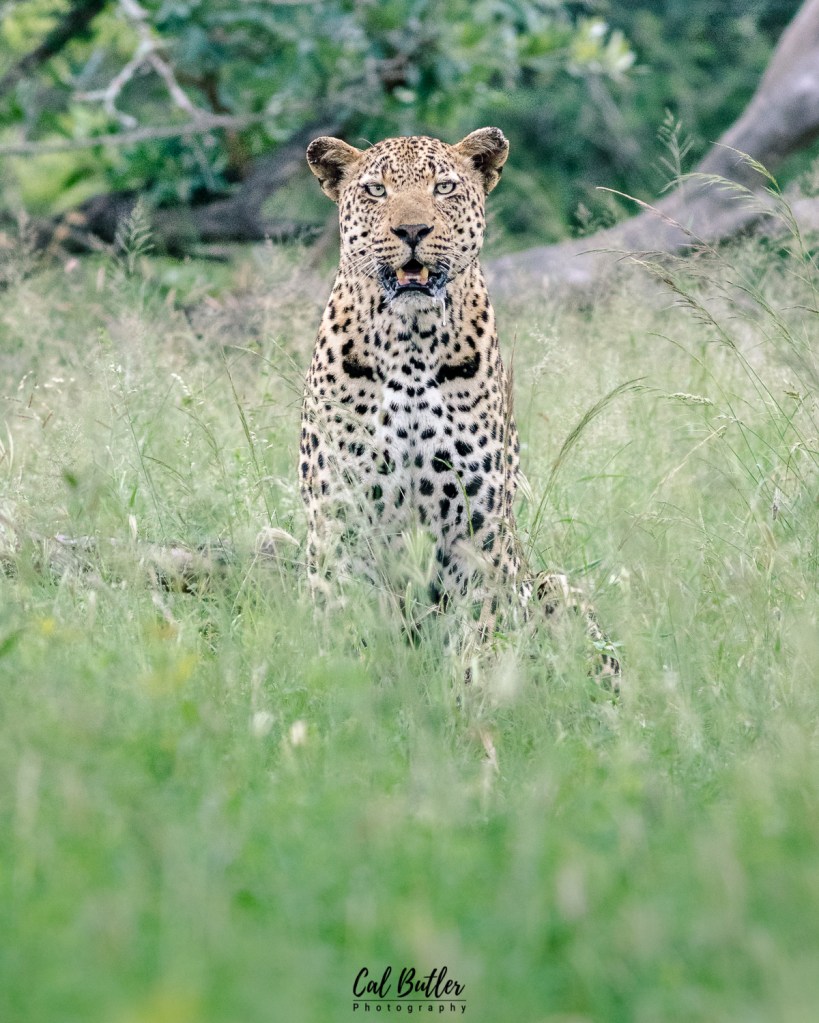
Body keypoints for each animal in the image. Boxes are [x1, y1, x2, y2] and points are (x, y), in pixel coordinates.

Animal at [300, 128, 620, 683]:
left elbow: (477, 638)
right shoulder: (339, 518)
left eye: (444, 187)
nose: (412, 230)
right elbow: (349, 630)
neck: (409, 345)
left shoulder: (479, 529)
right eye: (376, 190)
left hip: (554, 584)